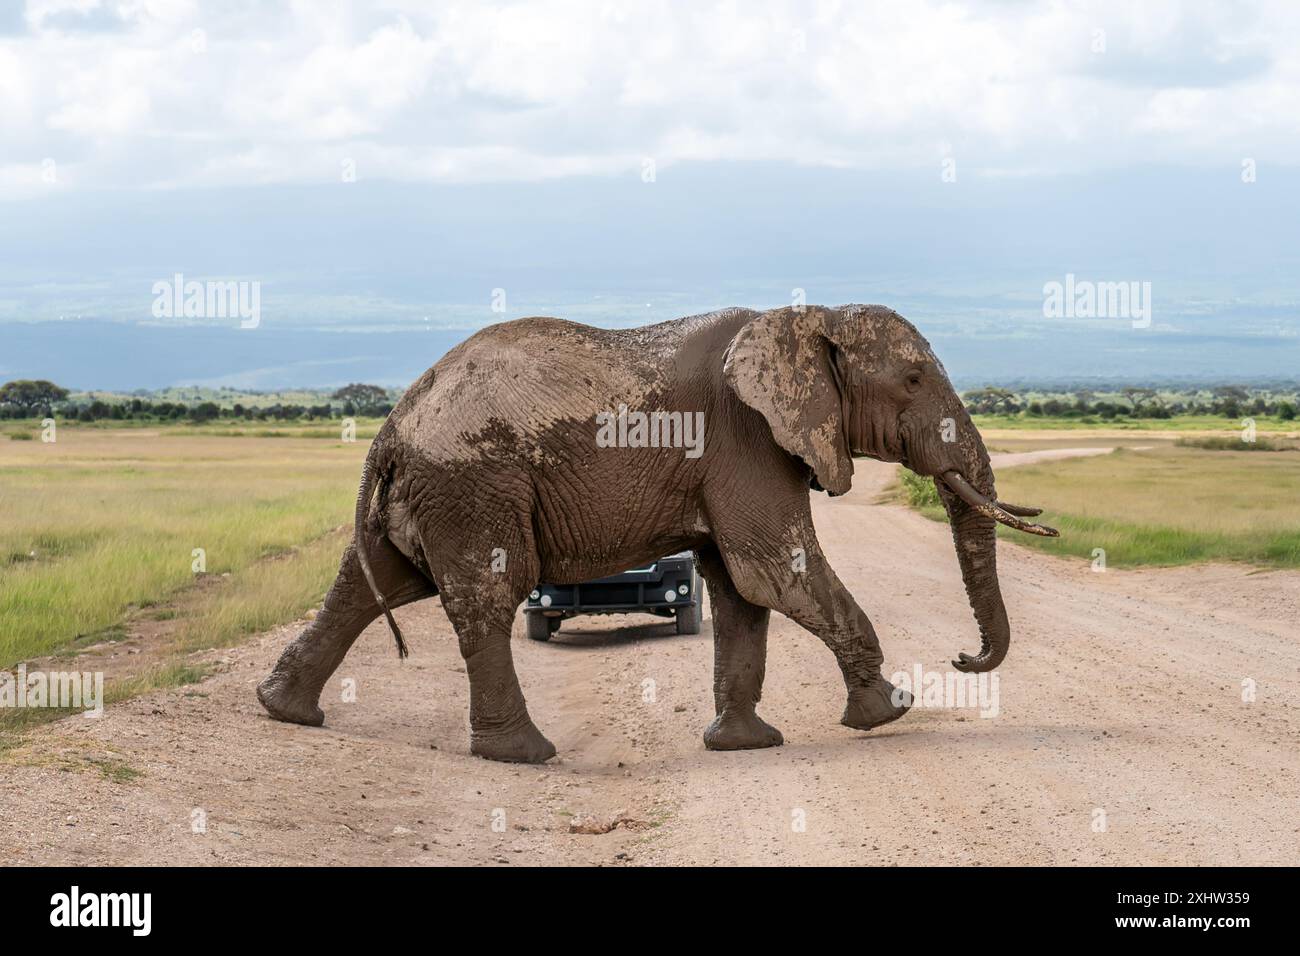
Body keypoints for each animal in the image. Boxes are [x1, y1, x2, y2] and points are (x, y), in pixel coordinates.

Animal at [257, 305, 1056, 763]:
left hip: (436, 490)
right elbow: (775, 569)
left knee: (372, 583)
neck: (805, 318)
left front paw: (744, 746)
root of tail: (391, 426)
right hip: (475, 482)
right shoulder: (743, 440)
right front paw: (888, 713)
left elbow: (740, 589)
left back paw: (284, 710)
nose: (962, 658)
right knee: (487, 594)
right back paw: (522, 755)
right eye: (915, 379)